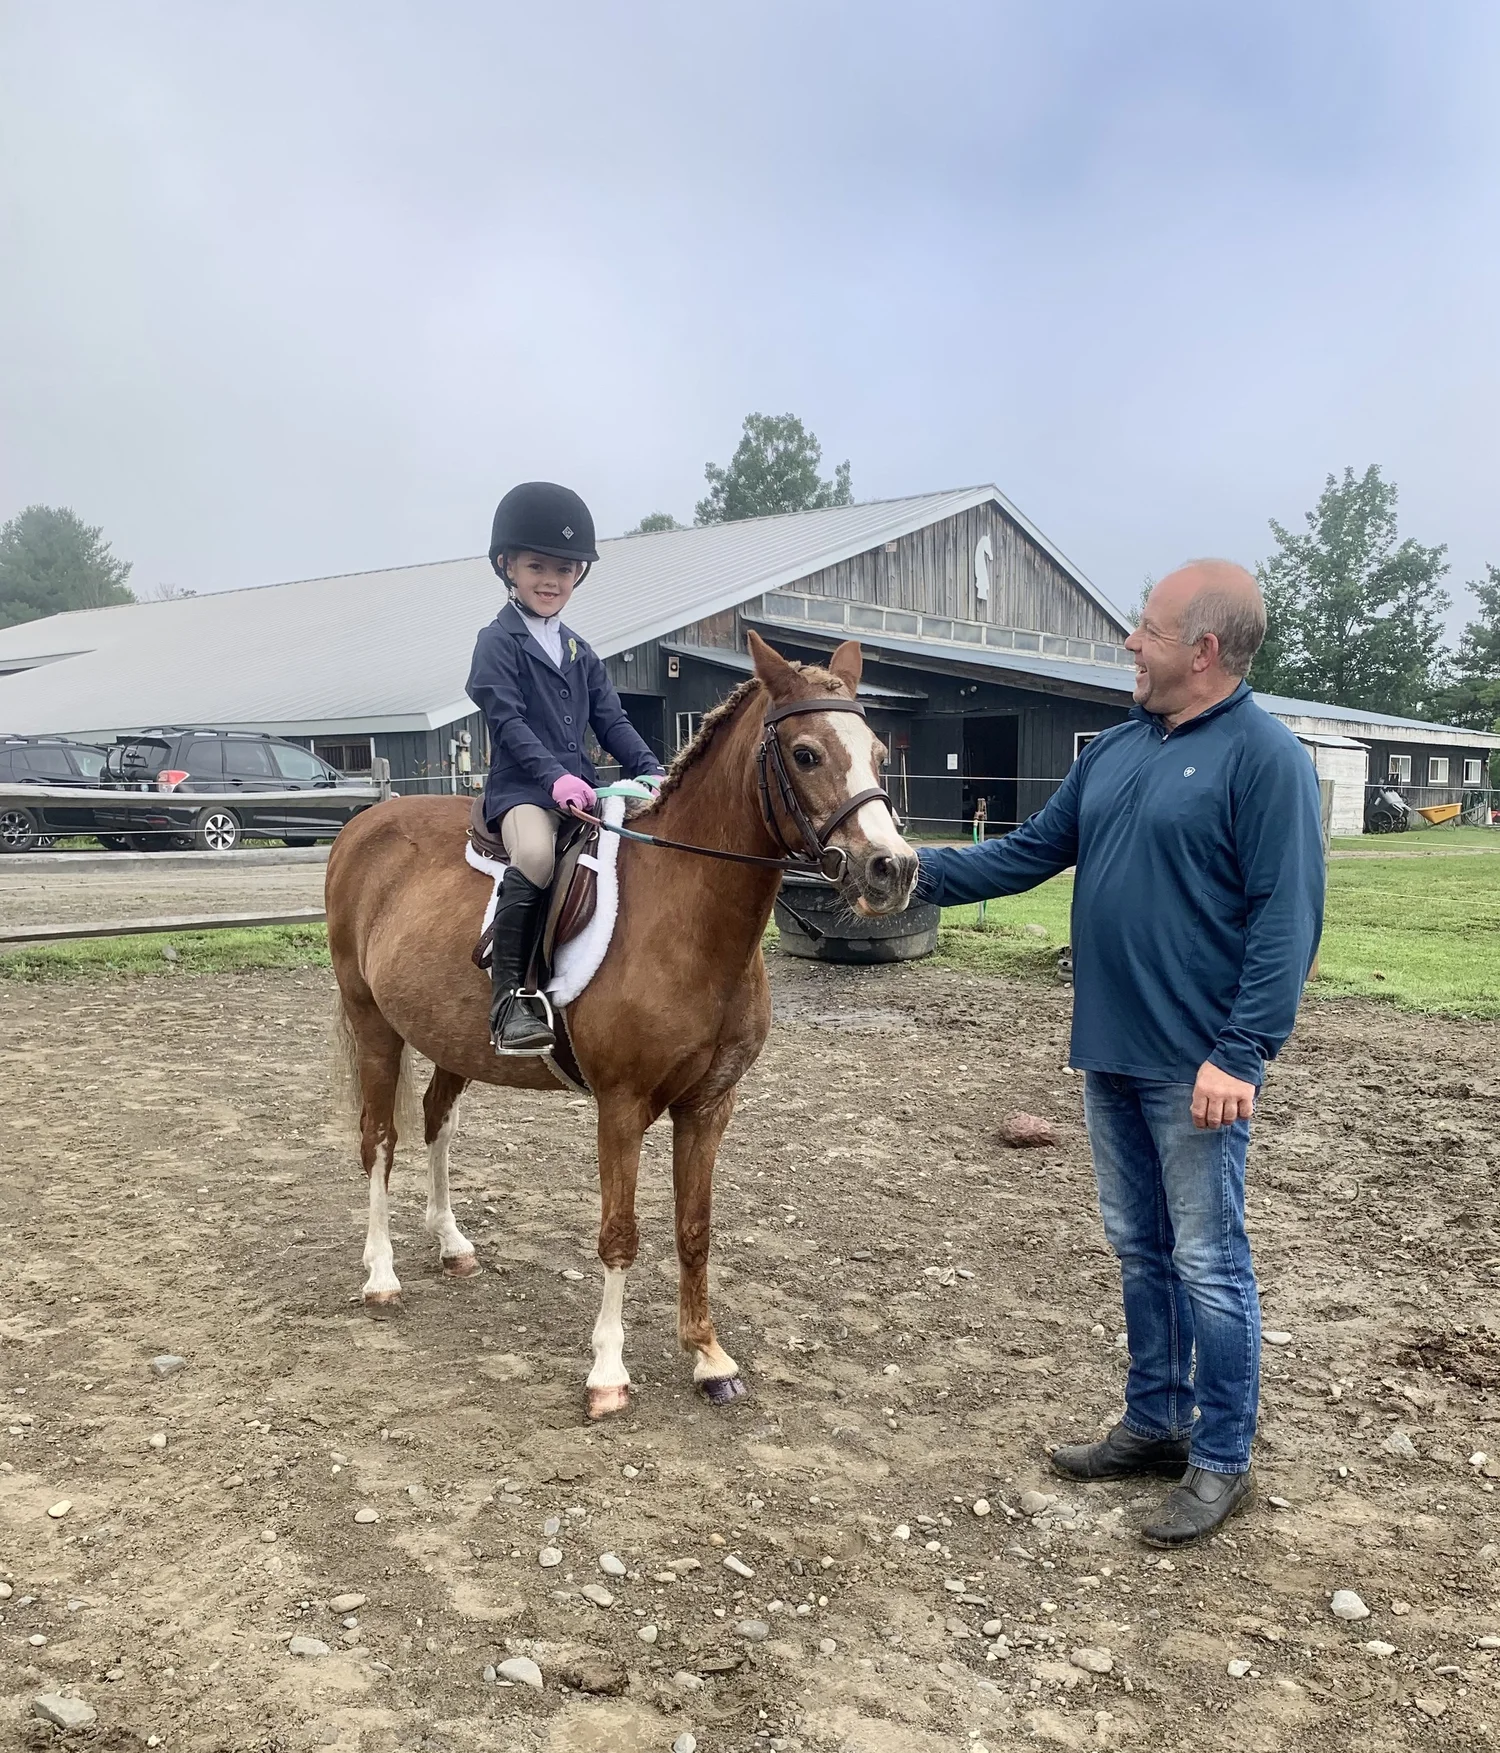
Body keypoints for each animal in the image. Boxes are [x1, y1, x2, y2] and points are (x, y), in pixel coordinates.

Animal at [325, 632, 918, 1418]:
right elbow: (619, 1234)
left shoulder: (709, 1105)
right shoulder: (622, 1105)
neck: (688, 917)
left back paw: (451, 1243)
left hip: (453, 1038)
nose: (892, 869)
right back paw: (381, 1275)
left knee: (434, 1119)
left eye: (880, 754)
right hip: (374, 1025)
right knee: (380, 1139)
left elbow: (694, 1230)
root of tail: (362, 825)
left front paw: (709, 1359)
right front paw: (608, 1372)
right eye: (806, 754)